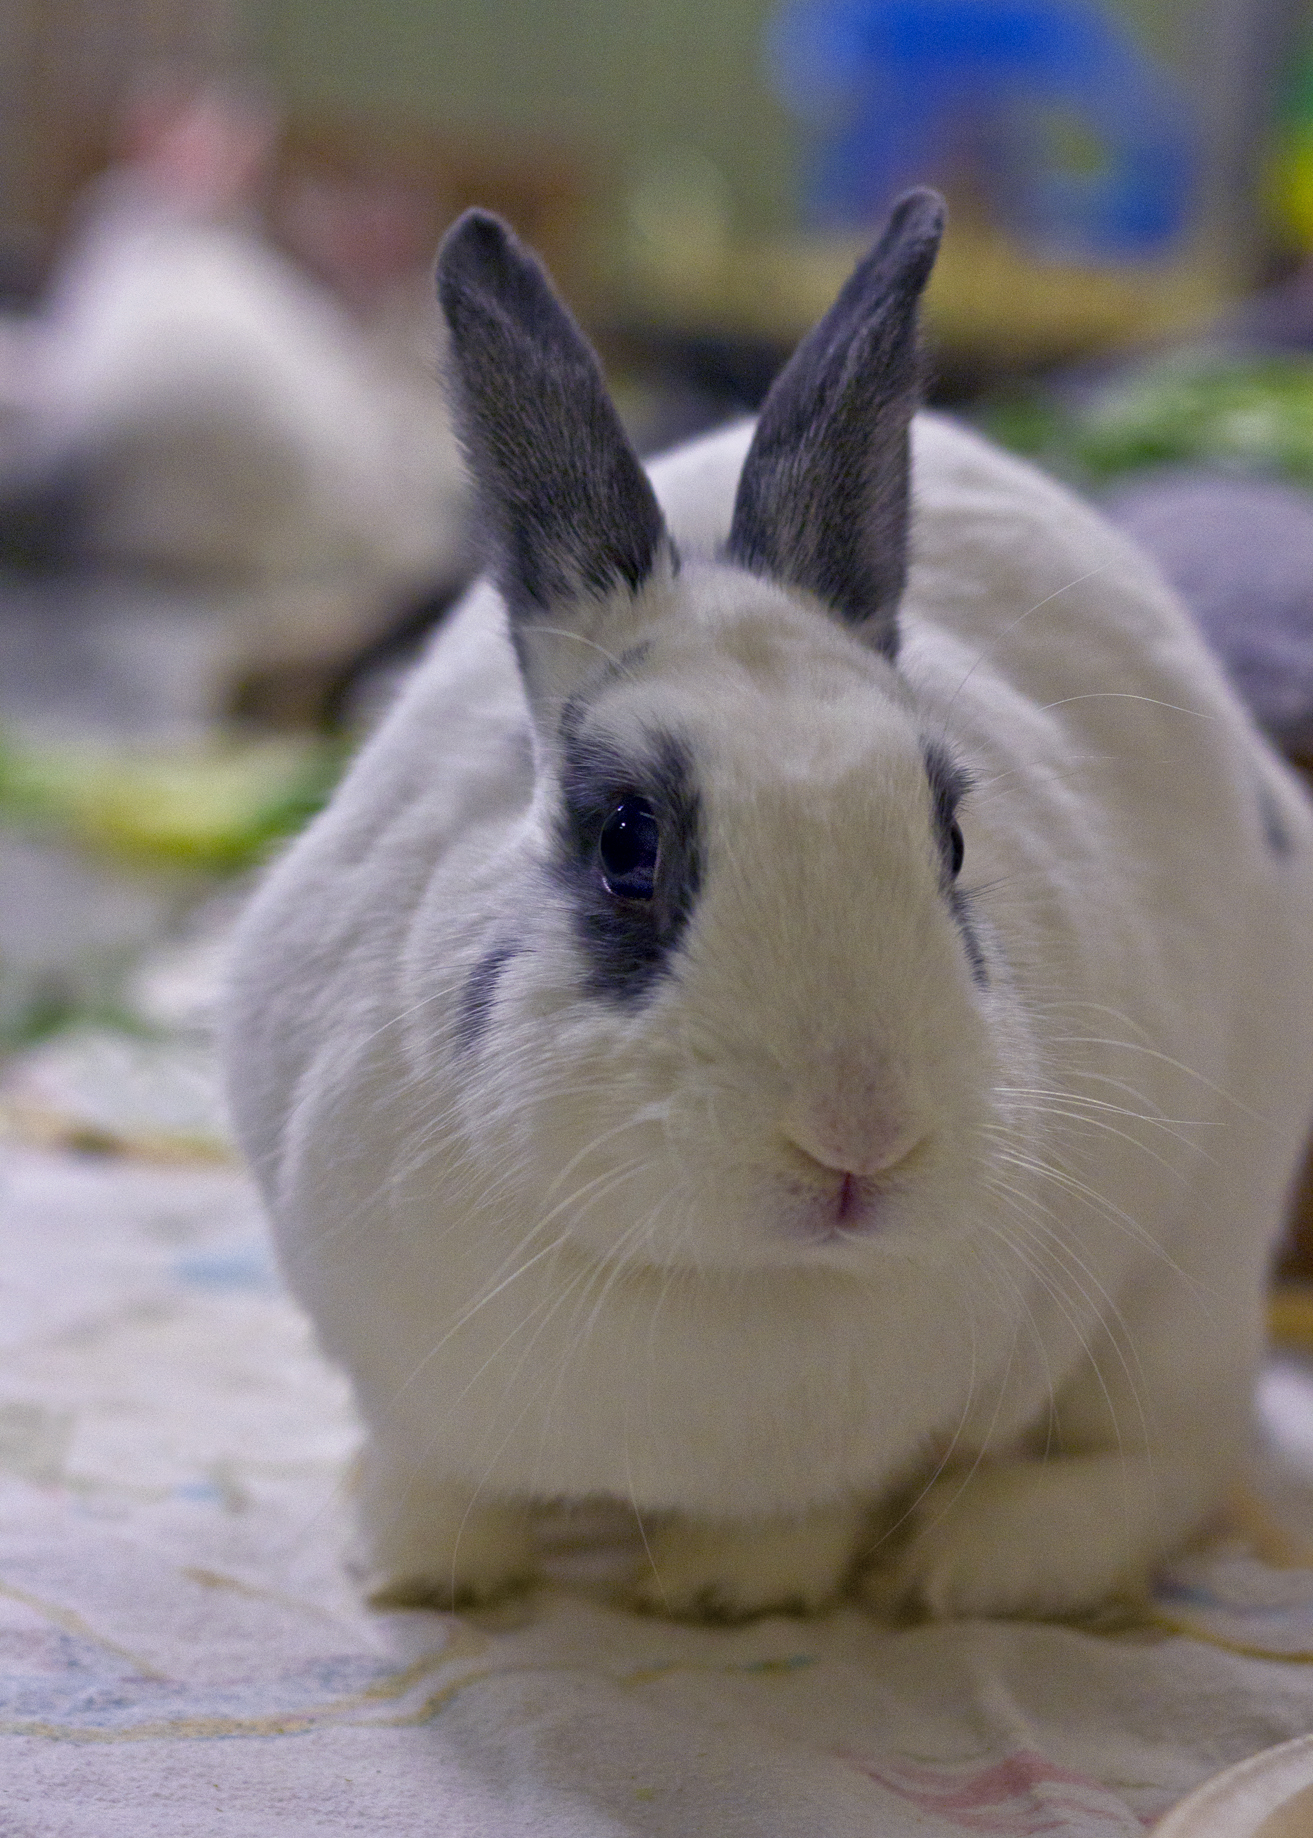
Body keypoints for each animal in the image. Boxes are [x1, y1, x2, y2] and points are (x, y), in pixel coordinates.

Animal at [222, 190, 1313, 1624]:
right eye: (626, 842)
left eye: (948, 835)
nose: (861, 1139)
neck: (708, 1281)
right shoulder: (396, 1379)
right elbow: (434, 1474)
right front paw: (418, 1569)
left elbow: (801, 1516)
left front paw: (719, 1592)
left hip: (1189, 1279)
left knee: (1177, 1456)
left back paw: (981, 1555)